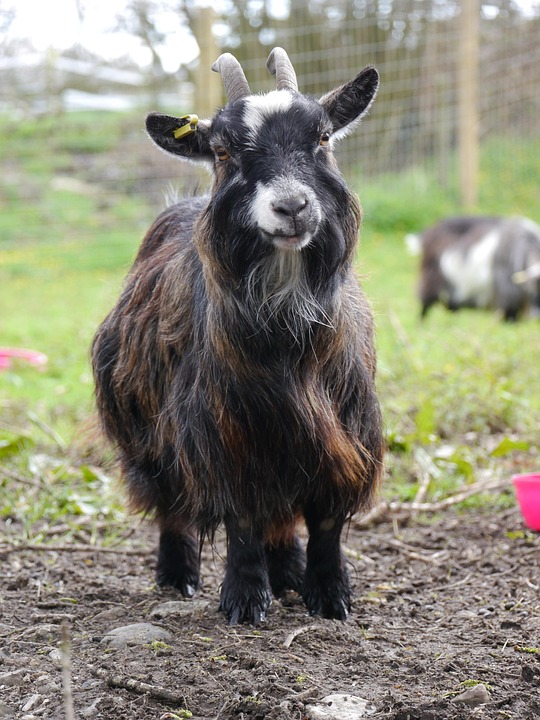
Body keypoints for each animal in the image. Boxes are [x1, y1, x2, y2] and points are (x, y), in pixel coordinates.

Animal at [92, 48, 384, 624]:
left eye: (322, 136)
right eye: (224, 149)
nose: (292, 207)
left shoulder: (344, 430)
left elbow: (325, 521)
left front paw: (330, 596)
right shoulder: (226, 433)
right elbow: (242, 518)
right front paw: (245, 601)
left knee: (282, 518)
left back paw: (289, 572)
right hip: (146, 431)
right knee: (173, 506)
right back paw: (179, 576)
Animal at [412, 216, 540, 321]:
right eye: (535, 289)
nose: (536, 317)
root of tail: (428, 233)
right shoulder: (507, 295)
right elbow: (509, 316)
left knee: (452, 306)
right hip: (432, 278)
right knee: (425, 303)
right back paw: (421, 323)